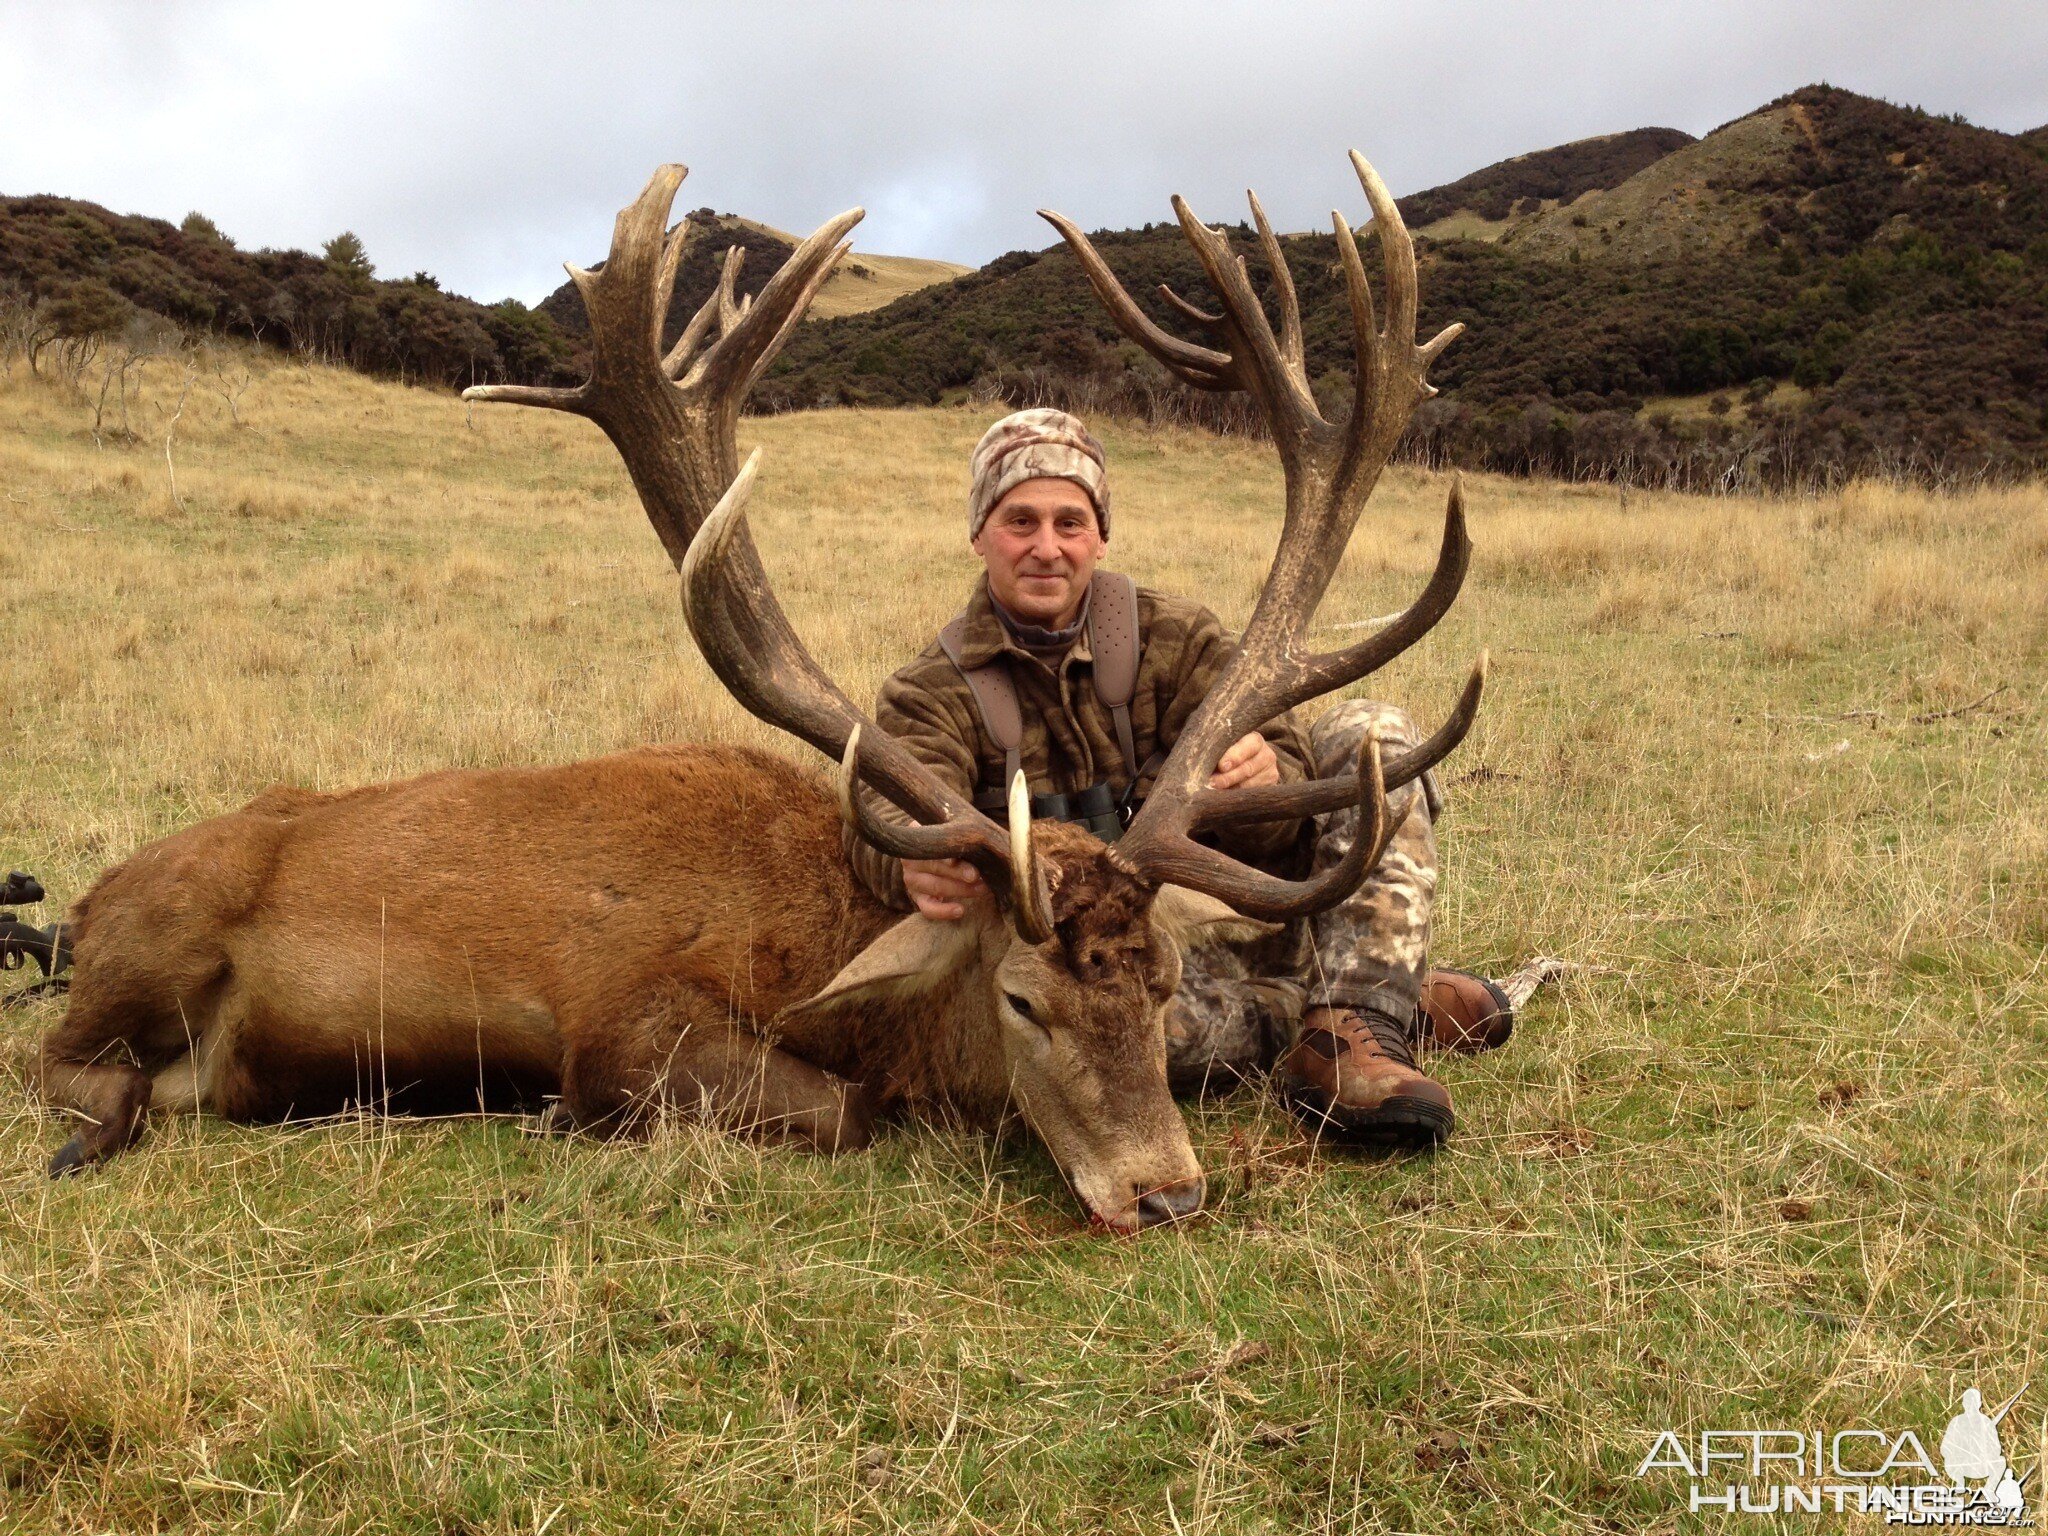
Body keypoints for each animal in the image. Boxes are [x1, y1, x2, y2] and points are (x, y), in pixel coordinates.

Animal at [30, 153, 1482, 1231]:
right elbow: (835, 1113)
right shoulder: (625, 1024)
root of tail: (89, 900)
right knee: (66, 1065)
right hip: (159, 944)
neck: (830, 948)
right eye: (1022, 997)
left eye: (1168, 979)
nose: (1165, 1193)